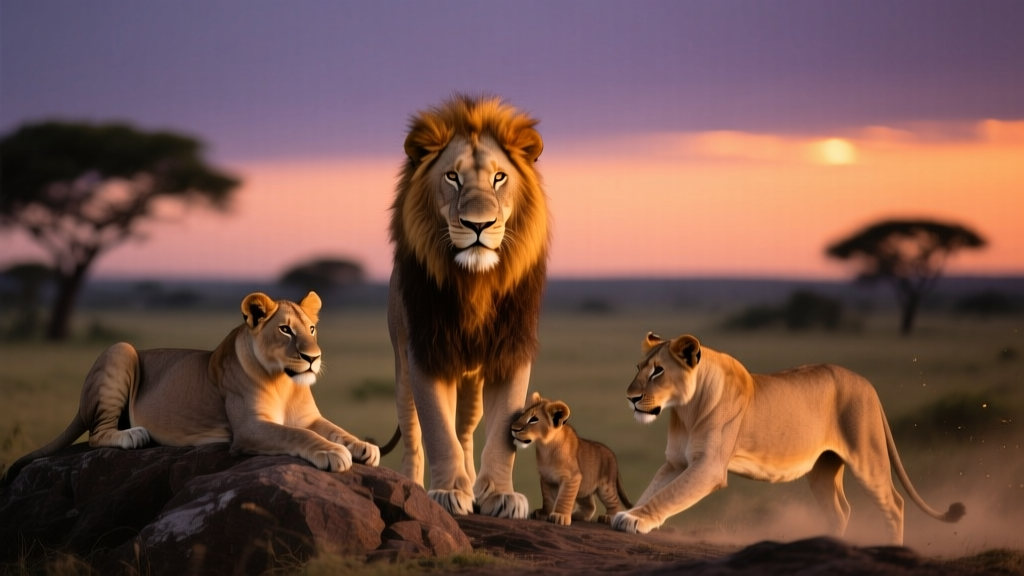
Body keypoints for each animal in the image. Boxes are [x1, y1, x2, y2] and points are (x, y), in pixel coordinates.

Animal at [1, 292, 380, 486]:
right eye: (285, 330)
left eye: (312, 329)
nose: (312, 358)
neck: (286, 382)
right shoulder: (249, 429)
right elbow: (299, 435)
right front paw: (333, 453)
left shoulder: (310, 417)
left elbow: (333, 429)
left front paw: (364, 447)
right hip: (121, 349)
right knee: (97, 434)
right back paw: (133, 435)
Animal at [386, 94, 548, 518]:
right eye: (452, 177)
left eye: (499, 178)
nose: (478, 225)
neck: (475, 281)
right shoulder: (425, 350)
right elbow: (437, 430)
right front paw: (446, 492)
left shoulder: (510, 351)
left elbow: (502, 431)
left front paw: (499, 494)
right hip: (401, 365)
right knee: (413, 432)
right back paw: (412, 484)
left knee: (466, 429)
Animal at [512, 392, 633, 526]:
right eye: (521, 415)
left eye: (533, 420)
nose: (513, 428)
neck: (545, 448)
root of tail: (612, 454)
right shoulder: (547, 478)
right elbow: (548, 498)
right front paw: (544, 513)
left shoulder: (572, 477)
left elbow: (564, 498)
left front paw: (559, 516)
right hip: (584, 487)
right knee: (590, 506)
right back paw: (576, 515)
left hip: (605, 488)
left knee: (614, 503)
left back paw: (609, 518)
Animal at [611, 332, 965, 545]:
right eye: (638, 367)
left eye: (658, 371)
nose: (630, 398)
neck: (685, 409)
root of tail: (868, 385)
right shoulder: (675, 463)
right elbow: (653, 490)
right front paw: (629, 513)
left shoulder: (708, 466)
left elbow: (668, 495)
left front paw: (634, 518)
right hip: (822, 470)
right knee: (841, 510)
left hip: (867, 456)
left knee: (894, 502)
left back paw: (891, 547)